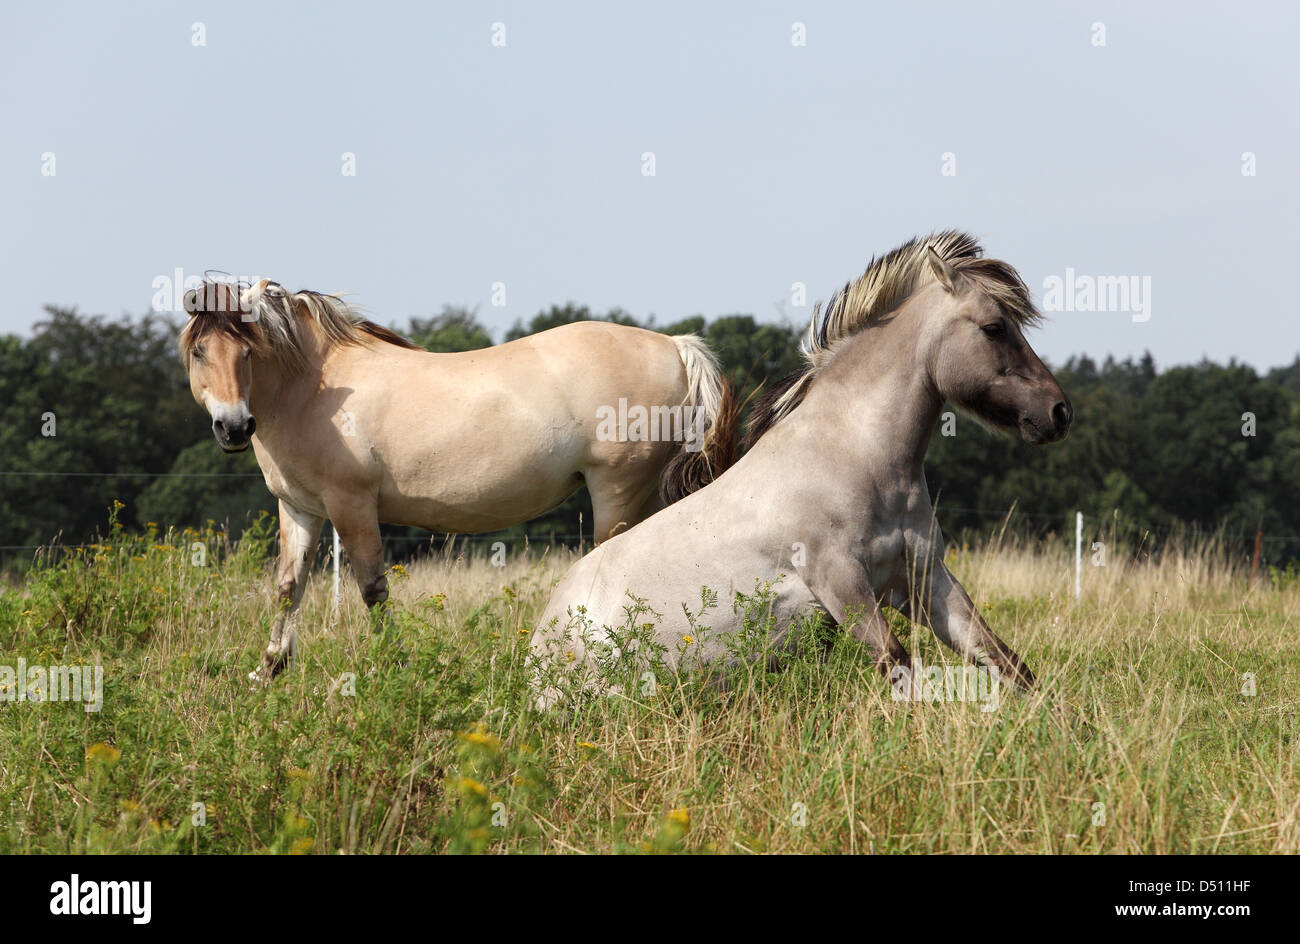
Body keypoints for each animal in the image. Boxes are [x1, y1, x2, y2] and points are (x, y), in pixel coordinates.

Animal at [179, 277, 736, 681]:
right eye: (201, 351)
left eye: (247, 351)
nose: (234, 426)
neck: (316, 387)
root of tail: (674, 345)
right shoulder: (300, 508)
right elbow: (288, 587)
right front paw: (269, 670)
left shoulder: (350, 505)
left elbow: (372, 589)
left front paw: (394, 668)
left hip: (618, 489)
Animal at [531, 231, 1072, 707]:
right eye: (994, 328)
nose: (1059, 413)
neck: (855, 457)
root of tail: (539, 644)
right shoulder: (840, 582)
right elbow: (899, 665)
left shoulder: (924, 579)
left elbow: (1003, 659)